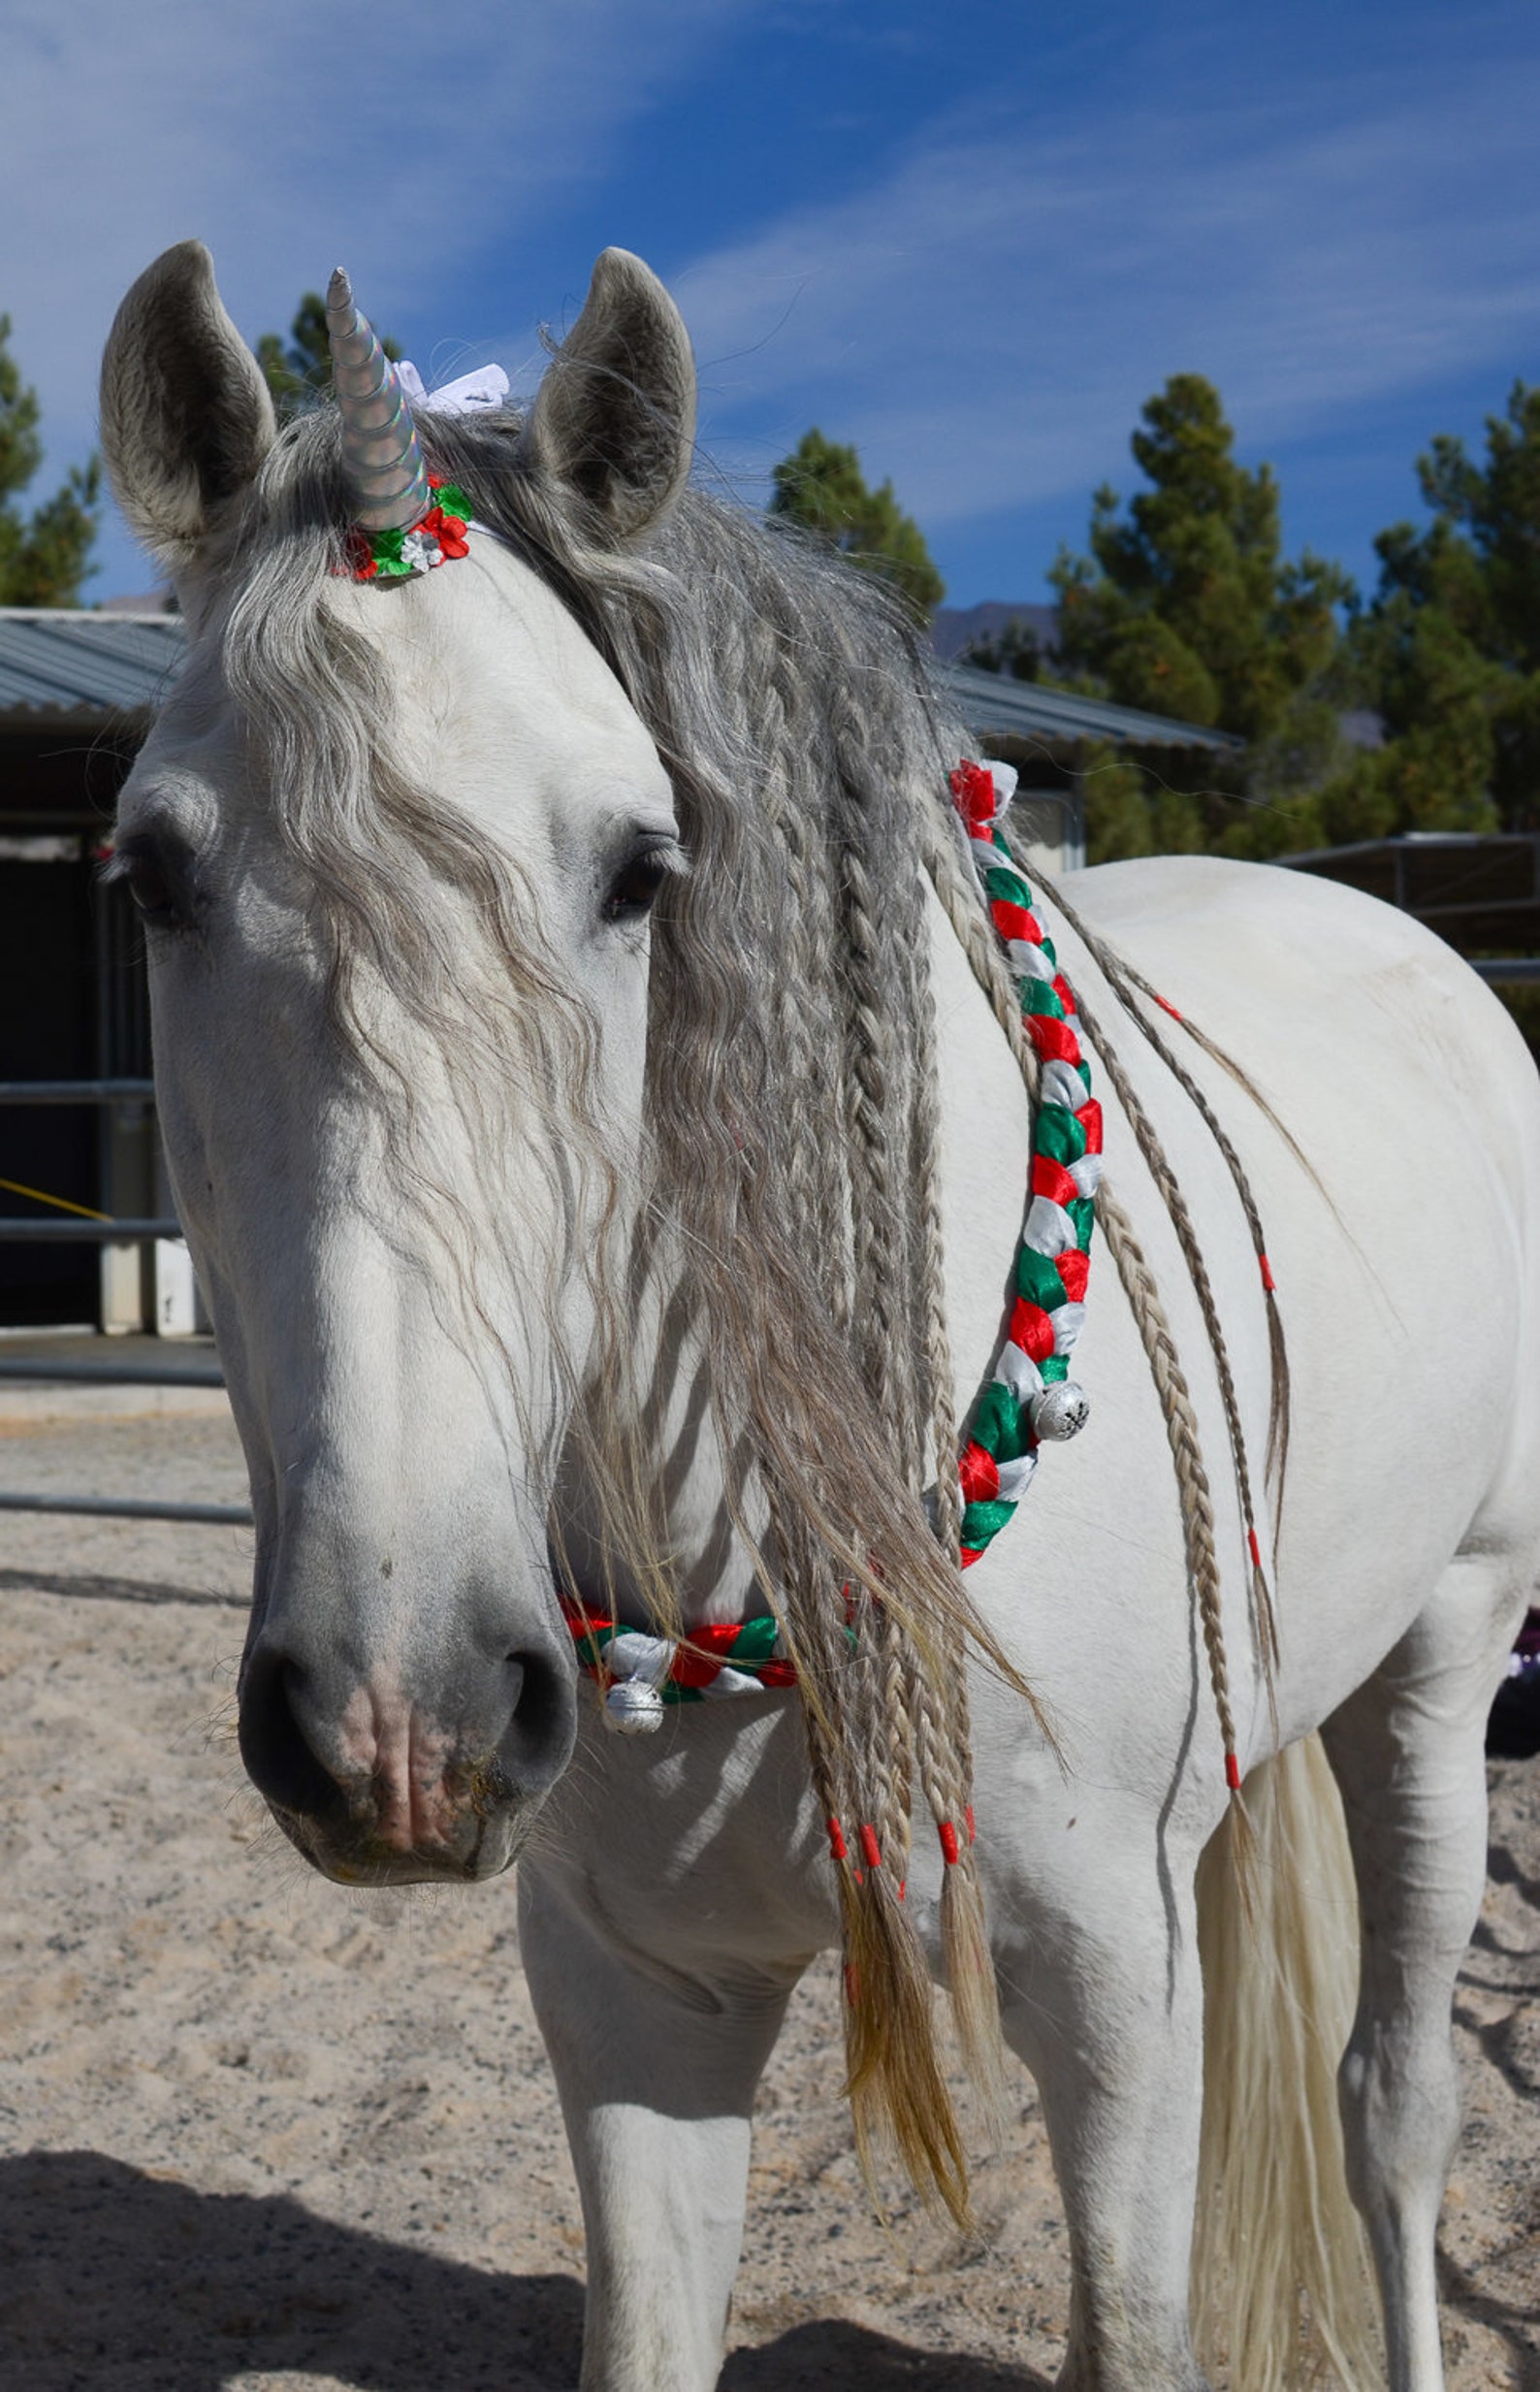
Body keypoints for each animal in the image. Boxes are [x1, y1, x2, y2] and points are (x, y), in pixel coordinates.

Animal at [98, 239, 1540, 2392]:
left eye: (637, 869)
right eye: (150, 873)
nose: (400, 1722)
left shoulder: (1114, 1998)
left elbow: (1143, 2314)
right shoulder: (632, 2009)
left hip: (1444, 1660)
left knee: (1391, 2110)